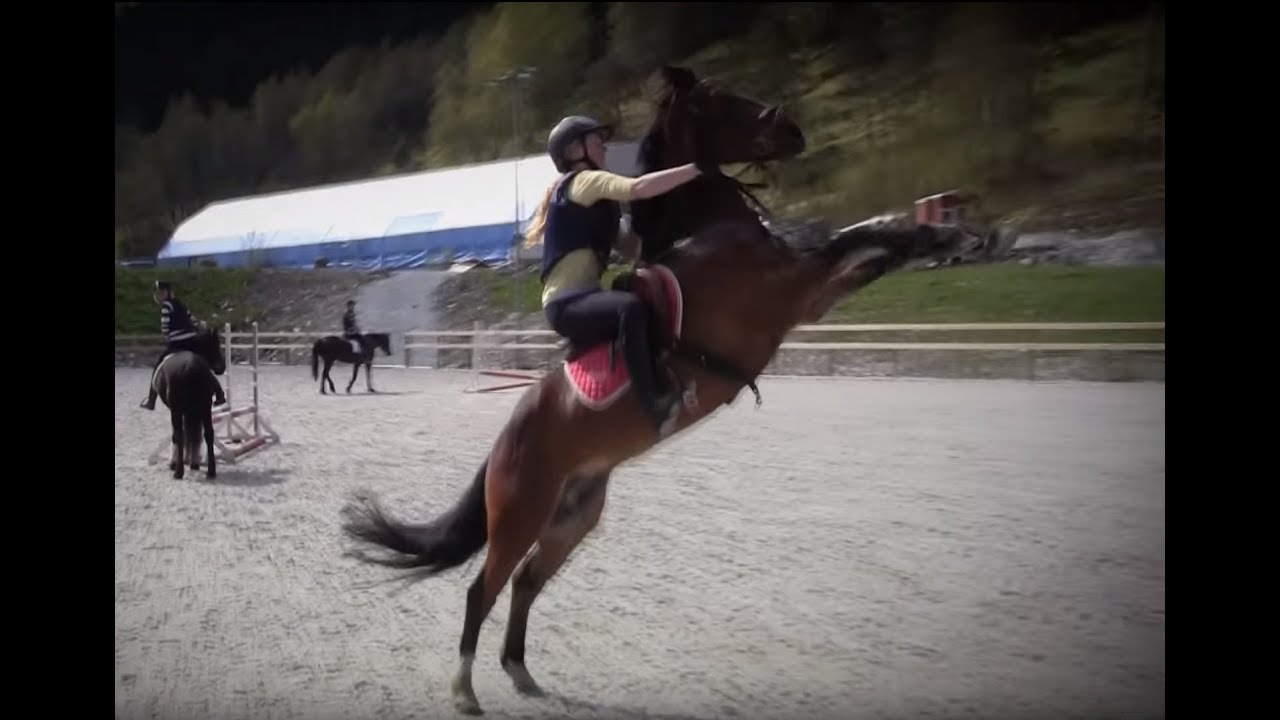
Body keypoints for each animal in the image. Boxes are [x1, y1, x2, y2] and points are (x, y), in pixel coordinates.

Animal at [150, 326, 227, 480]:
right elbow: (191, 433)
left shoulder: (177, 411)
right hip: (204, 408)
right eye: (214, 346)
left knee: (178, 435)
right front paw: (192, 461)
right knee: (208, 434)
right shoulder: (191, 411)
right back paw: (211, 471)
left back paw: (178, 472)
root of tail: (191, 367)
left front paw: (175, 462)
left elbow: (180, 435)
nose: (222, 368)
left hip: (178, 410)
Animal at [340, 65, 978, 716]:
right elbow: (849, 247)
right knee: (482, 589)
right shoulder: (791, 291)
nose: (793, 130)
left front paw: (946, 236)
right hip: (521, 515)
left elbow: (867, 246)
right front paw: (948, 236)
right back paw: (465, 690)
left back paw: (521, 672)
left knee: (525, 582)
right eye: (722, 99)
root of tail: (502, 445)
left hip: (574, 516)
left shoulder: (807, 295)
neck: (709, 232)